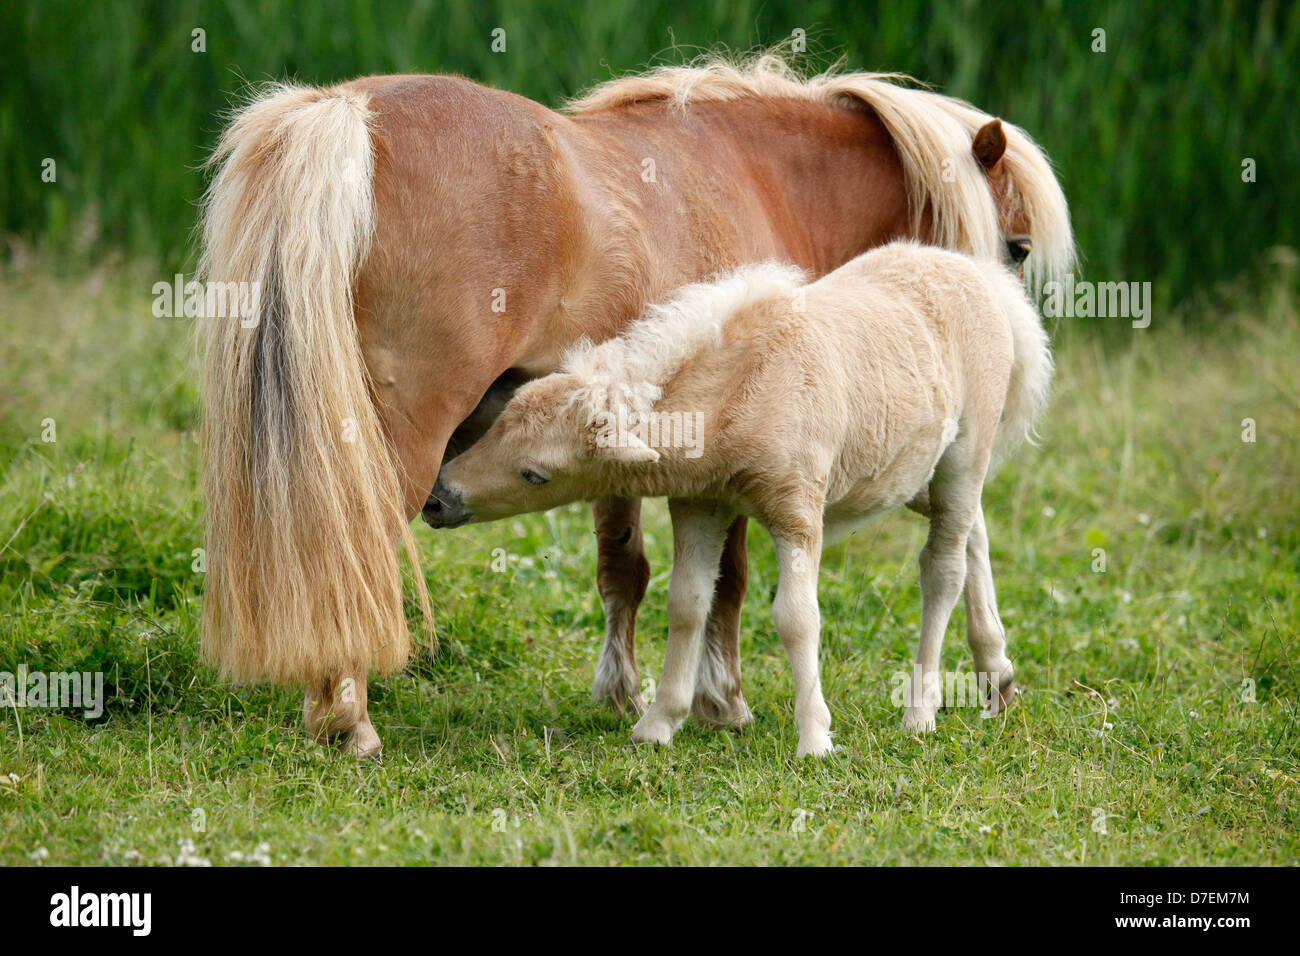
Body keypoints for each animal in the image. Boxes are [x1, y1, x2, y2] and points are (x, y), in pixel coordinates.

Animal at [424, 241, 1052, 756]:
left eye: (535, 474)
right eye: (501, 420)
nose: (438, 500)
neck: (739, 389)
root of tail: (979, 274)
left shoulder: (796, 509)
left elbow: (796, 617)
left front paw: (814, 738)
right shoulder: (701, 505)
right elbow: (686, 604)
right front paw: (658, 724)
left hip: (964, 452)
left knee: (942, 566)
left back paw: (921, 711)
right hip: (912, 471)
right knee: (974, 531)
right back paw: (996, 671)